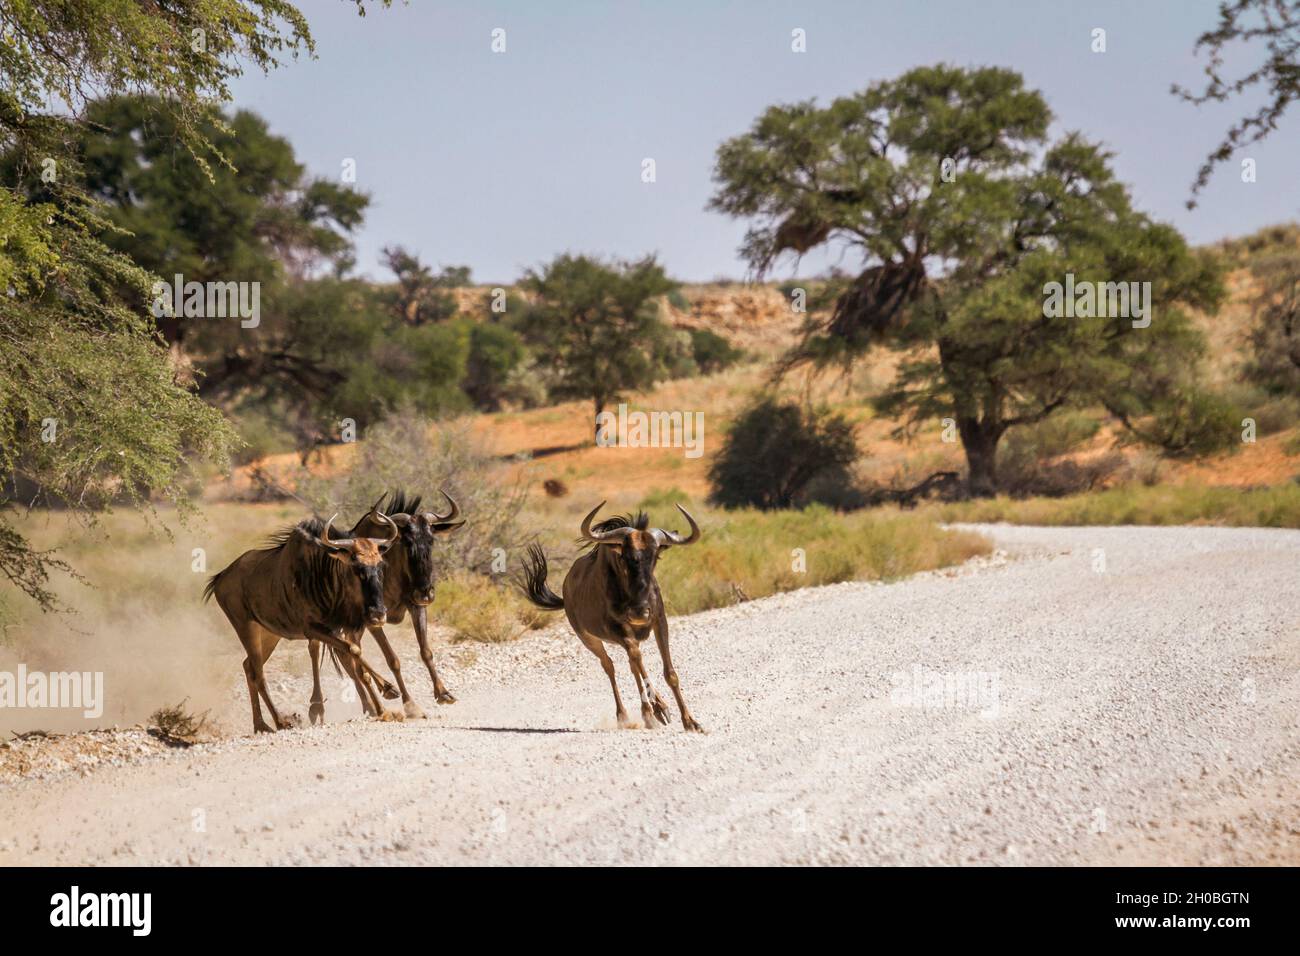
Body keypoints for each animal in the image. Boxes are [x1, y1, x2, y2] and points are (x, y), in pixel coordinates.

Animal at [204, 511, 401, 733]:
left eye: (381, 565)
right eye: (356, 567)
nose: (378, 614)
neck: (324, 573)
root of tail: (220, 578)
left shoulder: (335, 629)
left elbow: (354, 662)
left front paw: (382, 704)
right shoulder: (313, 629)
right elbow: (354, 651)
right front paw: (387, 689)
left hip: (270, 634)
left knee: (249, 667)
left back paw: (261, 724)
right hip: (246, 627)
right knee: (258, 674)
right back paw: (279, 722)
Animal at [308, 489, 465, 722]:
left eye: (431, 540)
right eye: (406, 542)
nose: (426, 592)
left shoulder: (416, 607)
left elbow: (426, 651)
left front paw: (443, 693)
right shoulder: (373, 620)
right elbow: (393, 659)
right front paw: (410, 705)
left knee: (347, 656)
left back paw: (371, 705)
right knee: (320, 649)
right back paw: (320, 706)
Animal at [519, 501, 704, 732]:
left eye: (655, 557)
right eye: (624, 556)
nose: (639, 612)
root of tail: (565, 588)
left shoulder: (659, 622)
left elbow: (669, 672)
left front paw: (690, 721)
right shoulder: (617, 630)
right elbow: (636, 659)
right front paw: (653, 712)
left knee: (631, 665)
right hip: (589, 639)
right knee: (610, 665)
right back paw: (628, 715)